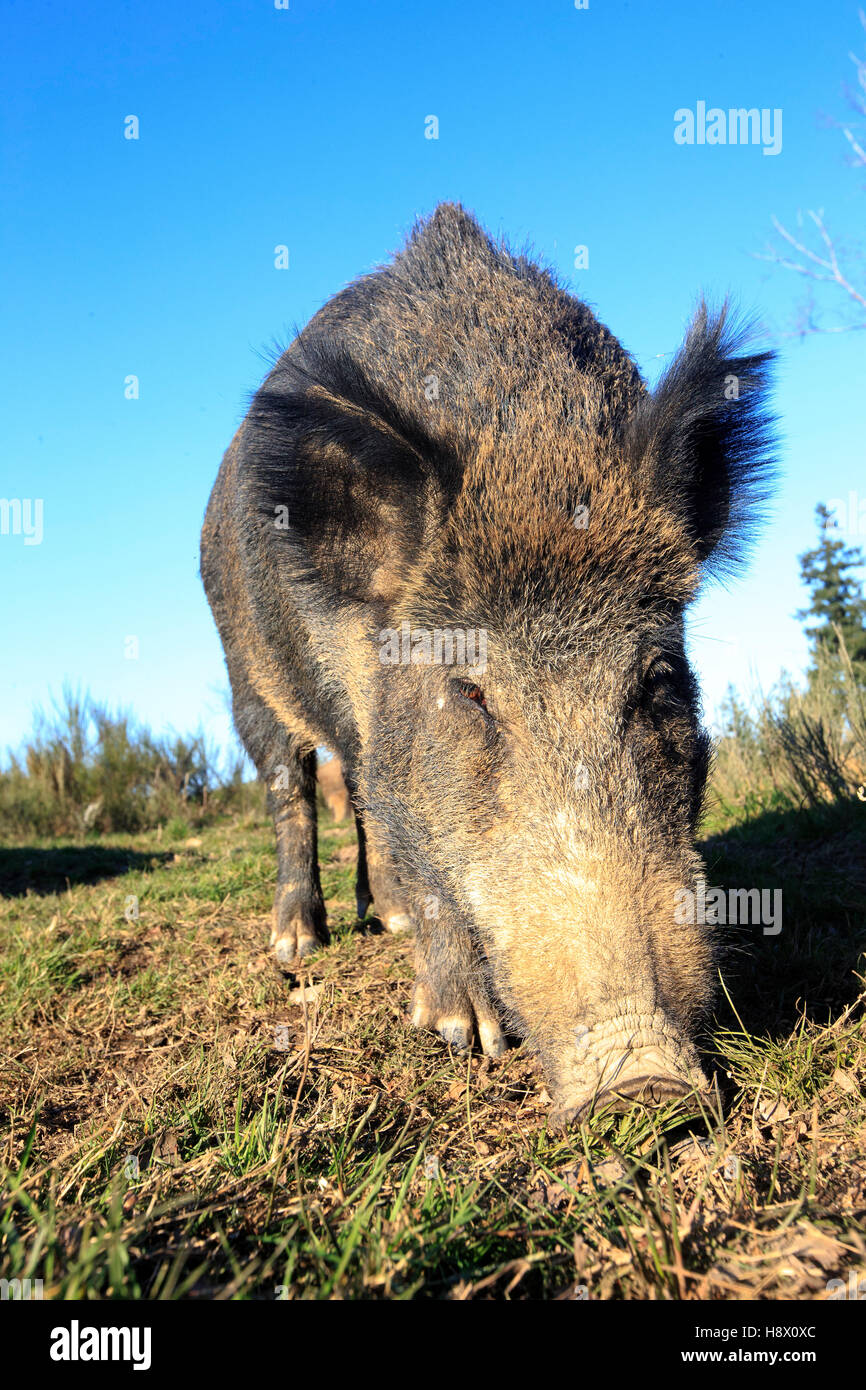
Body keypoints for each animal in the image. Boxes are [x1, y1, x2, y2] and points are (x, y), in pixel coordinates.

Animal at [200, 203, 774, 1124]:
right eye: (469, 691)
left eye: (656, 680)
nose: (643, 1079)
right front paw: (461, 1035)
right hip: (242, 668)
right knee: (293, 783)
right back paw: (299, 945)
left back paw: (386, 921)